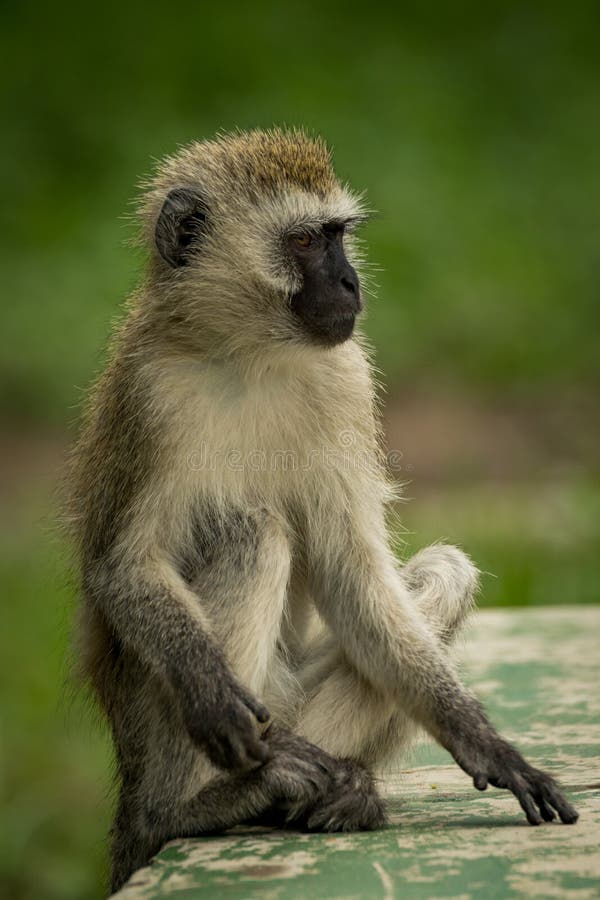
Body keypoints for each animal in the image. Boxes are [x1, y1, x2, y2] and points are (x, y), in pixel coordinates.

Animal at [67, 129, 578, 894]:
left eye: (338, 237)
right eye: (305, 241)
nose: (350, 284)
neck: (249, 354)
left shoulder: (346, 378)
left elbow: (352, 576)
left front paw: (483, 741)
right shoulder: (149, 393)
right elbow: (122, 566)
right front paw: (210, 688)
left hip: (290, 709)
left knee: (443, 574)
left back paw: (328, 795)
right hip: (169, 726)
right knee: (250, 532)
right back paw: (194, 808)